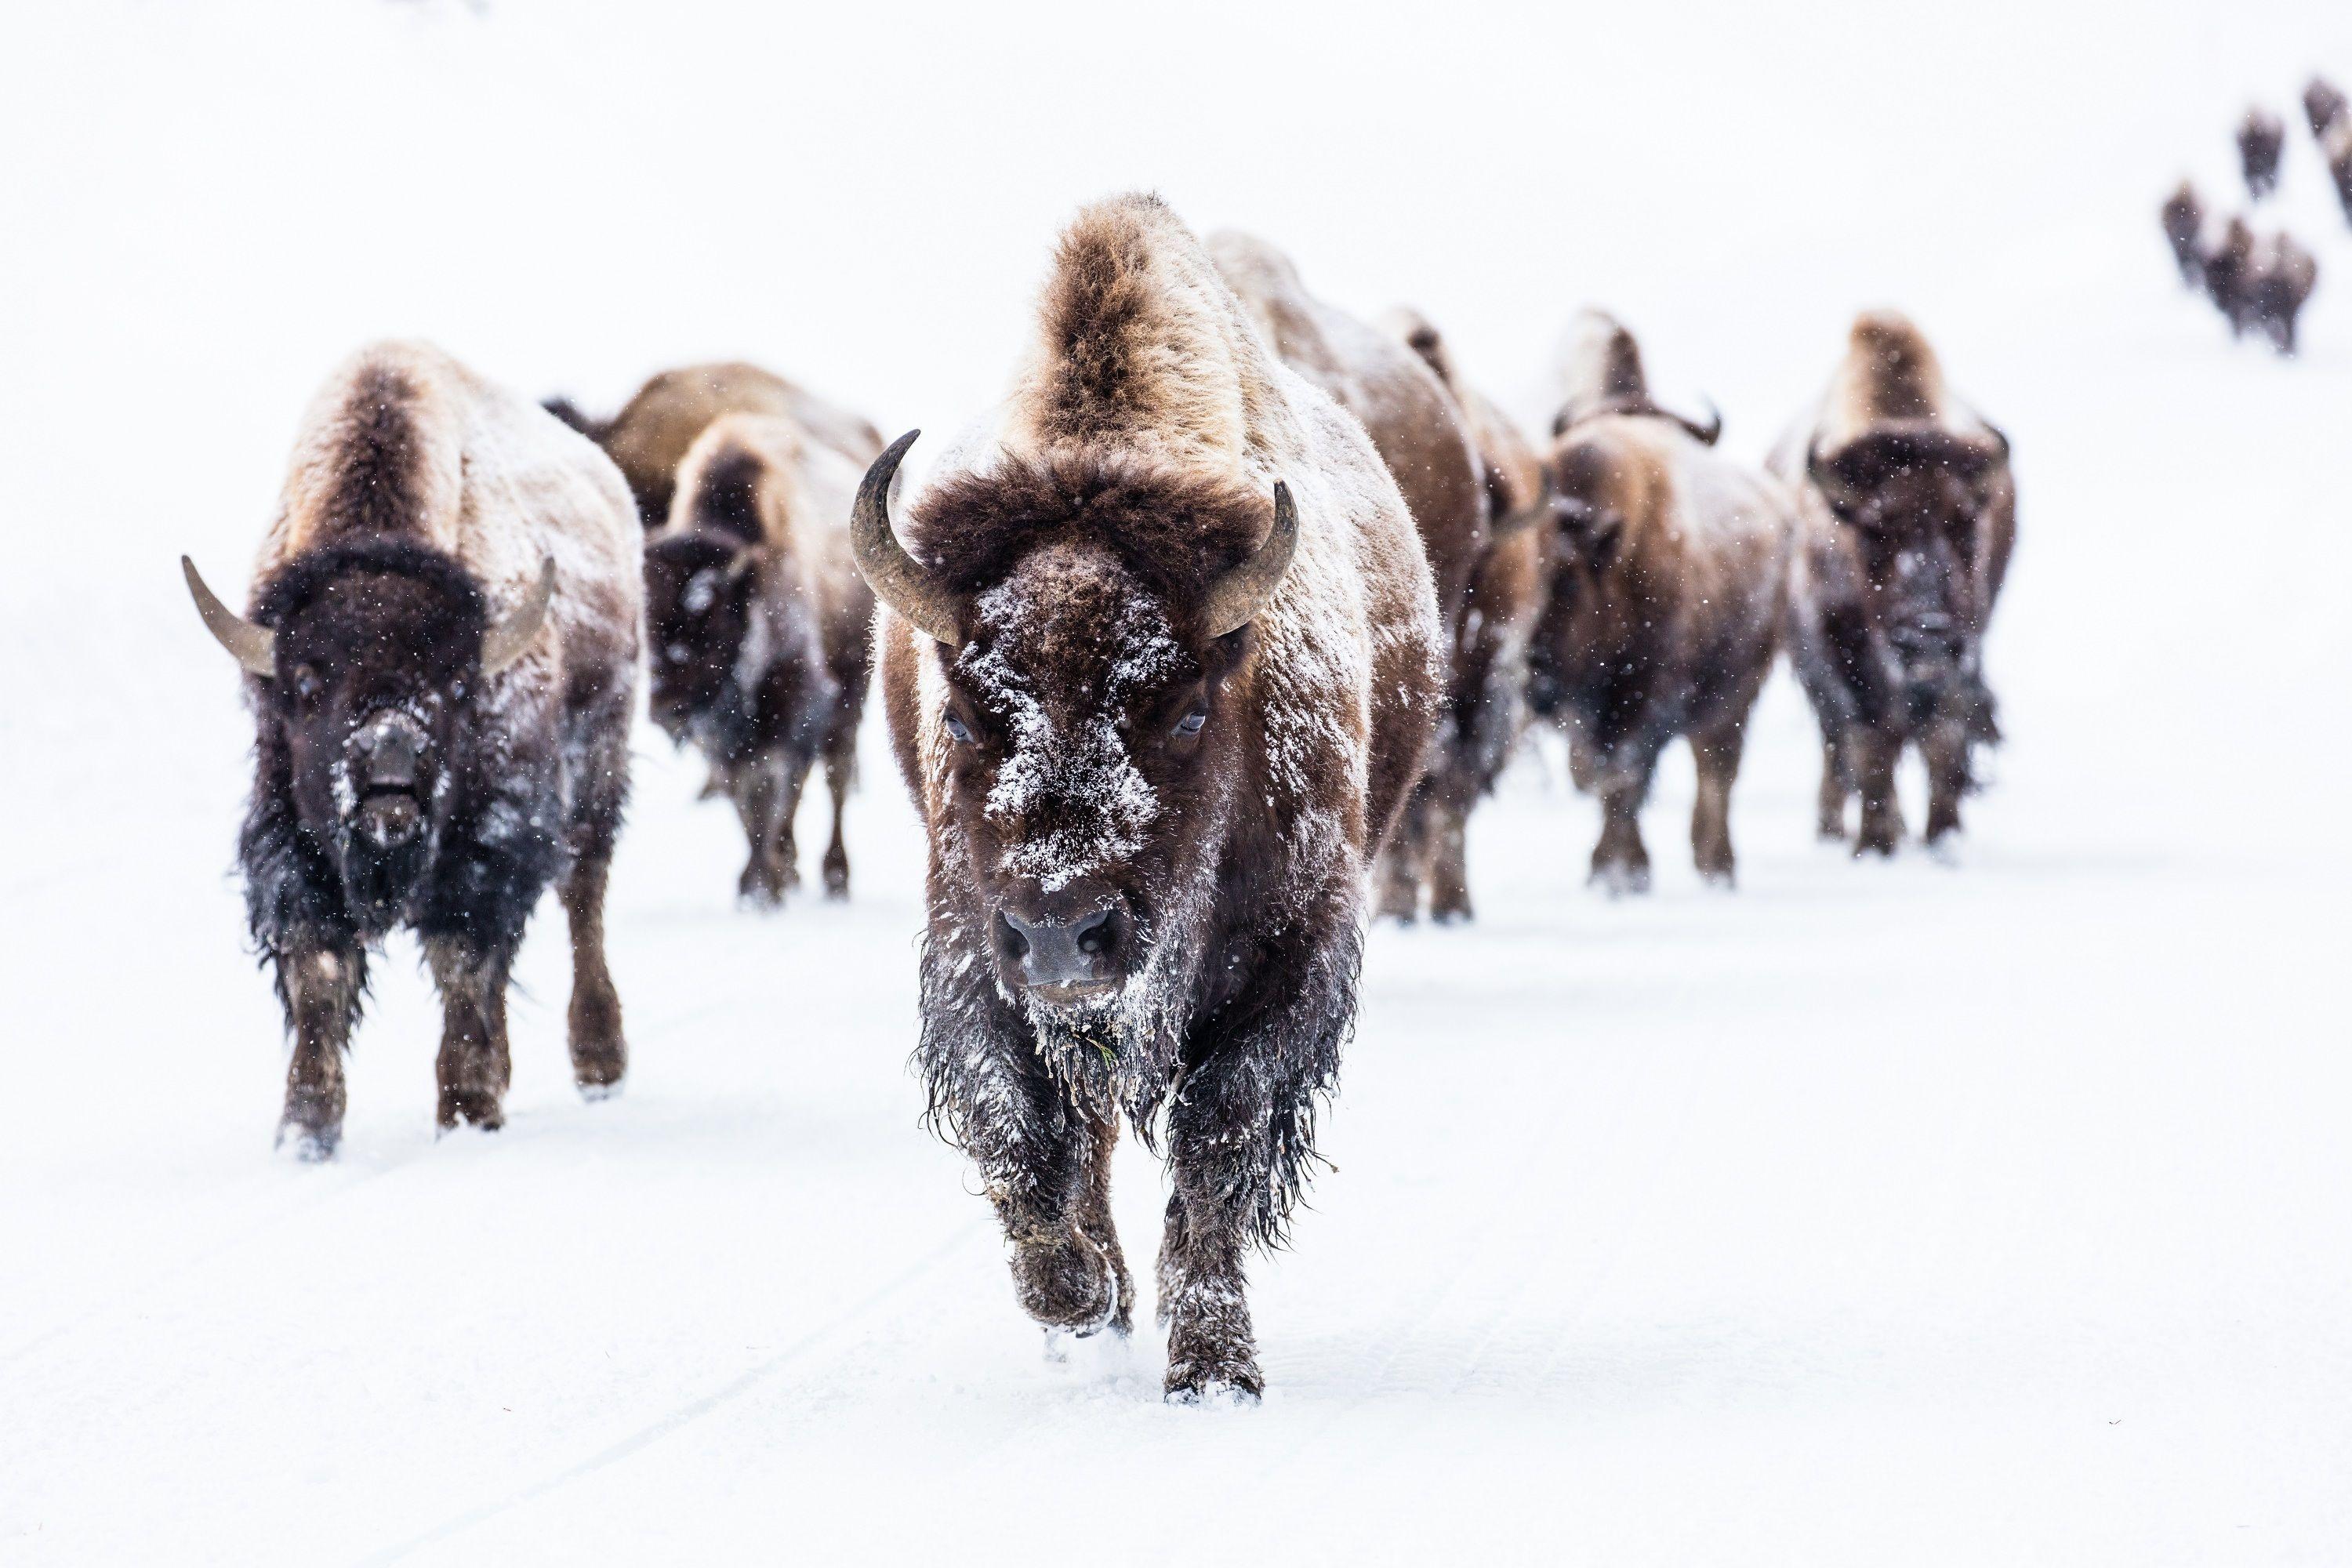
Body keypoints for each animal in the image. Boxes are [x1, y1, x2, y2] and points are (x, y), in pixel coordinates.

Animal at [183, 342, 641, 1155]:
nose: (389, 772)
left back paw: (599, 1065)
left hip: (599, 769)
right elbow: (318, 968)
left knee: (583, 897)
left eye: (457, 682)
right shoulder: (290, 839)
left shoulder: (489, 842)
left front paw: (466, 1109)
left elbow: (463, 960)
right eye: (306, 682)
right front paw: (306, 1130)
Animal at [644, 412, 876, 903]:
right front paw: (761, 883)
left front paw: (760, 888)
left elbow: (769, 790)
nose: (662, 705)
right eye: (644, 619)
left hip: (850, 697)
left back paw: (835, 877)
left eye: (709, 620)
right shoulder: (720, 736)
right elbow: (742, 796)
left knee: (836, 775)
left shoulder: (791, 707)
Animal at [859, 193, 1441, 1401]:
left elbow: (1218, 1140)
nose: (1063, 934)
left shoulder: (1292, 961)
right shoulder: (975, 952)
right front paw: (1079, 1299)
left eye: (1180, 710)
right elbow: (1019, 1127)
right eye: (962, 715)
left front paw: (1214, 1368)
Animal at [1529, 312, 1789, 890]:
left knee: (1716, 768)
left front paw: (1621, 873)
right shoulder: (1590, 715)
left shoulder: (1644, 697)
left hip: (1739, 691)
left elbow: (1624, 779)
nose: (1531, 670)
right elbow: (1605, 775)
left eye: (1569, 584)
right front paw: (1612, 870)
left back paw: (1717, 866)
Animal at [1771, 312, 2015, 853]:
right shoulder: (1843, 657)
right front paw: (1876, 844)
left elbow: (1943, 739)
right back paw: (1836, 830)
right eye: (1873, 530)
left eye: (1965, 523)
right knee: (1840, 743)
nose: (1927, 635)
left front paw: (1945, 838)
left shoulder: (1966, 648)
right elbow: (1871, 745)